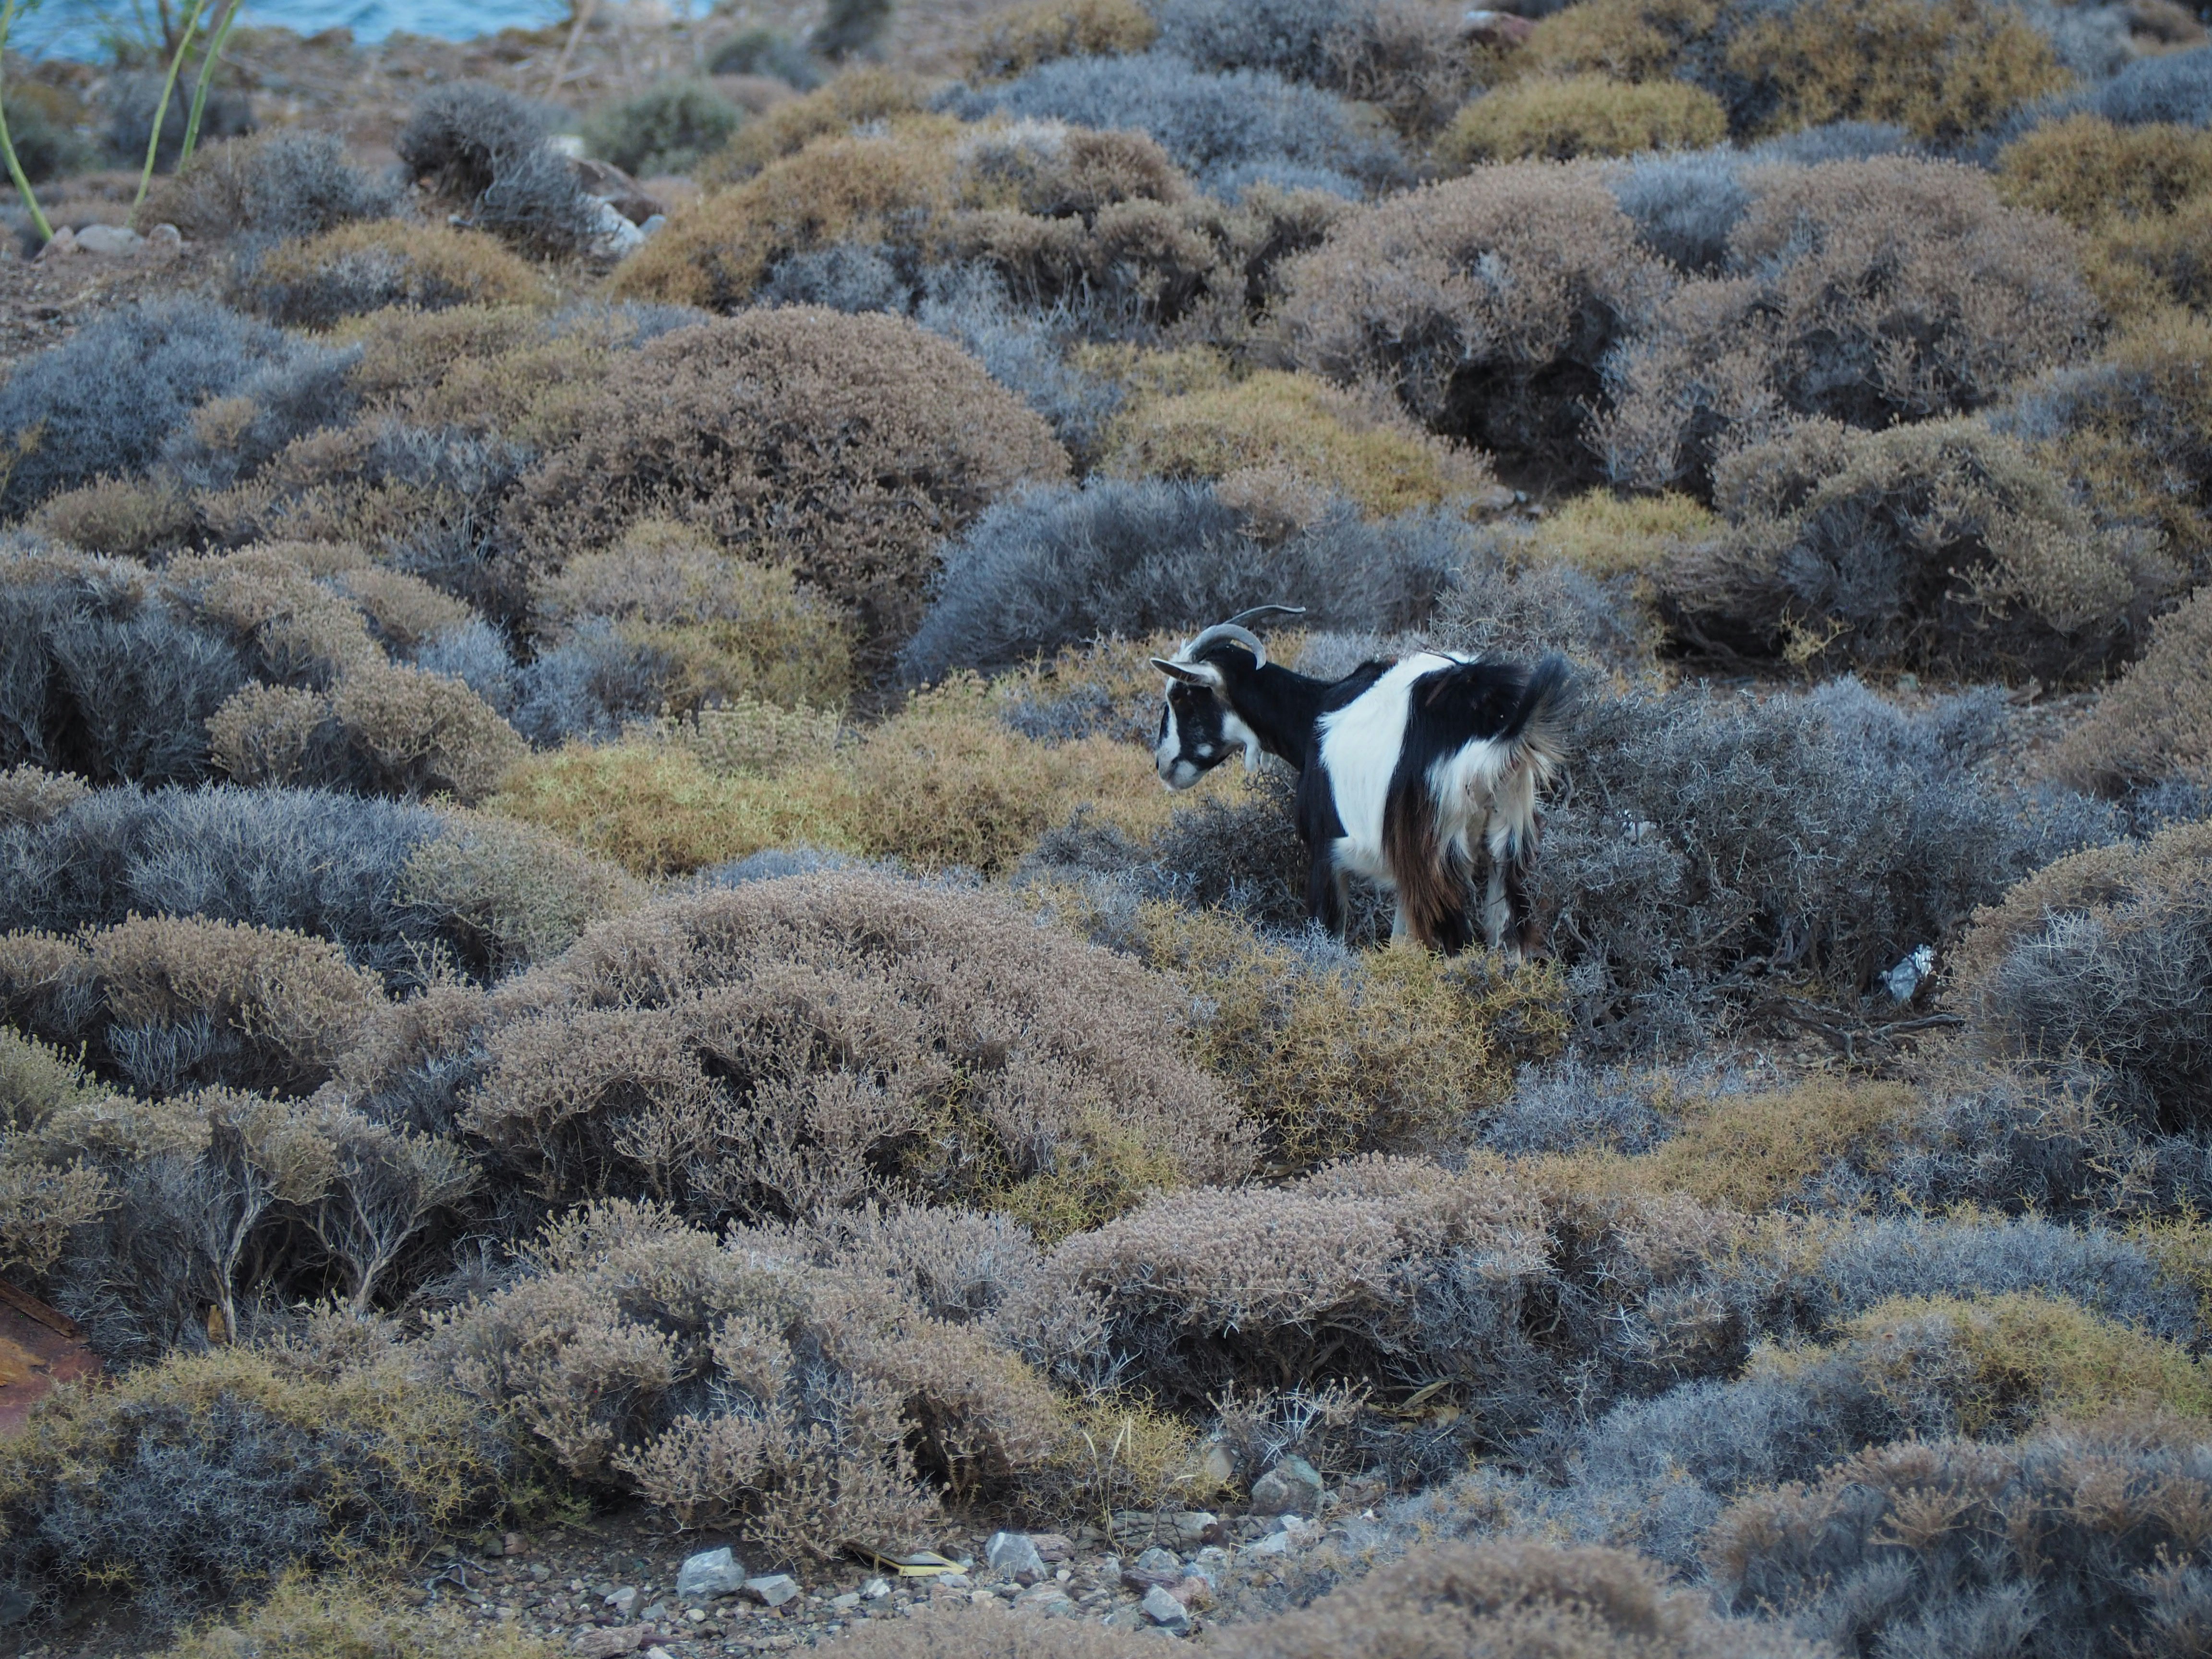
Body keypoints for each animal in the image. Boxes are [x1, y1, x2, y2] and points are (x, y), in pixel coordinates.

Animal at [1151, 607, 1572, 957]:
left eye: (1184, 696)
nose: (1163, 764)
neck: (1313, 715)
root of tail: (1493, 719)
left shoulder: (1326, 851)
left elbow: (1328, 934)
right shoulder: (1404, 872)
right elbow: (1401, 942)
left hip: (1441, 854)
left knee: (1459, 944)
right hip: (1508, 844)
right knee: (1509, 940)